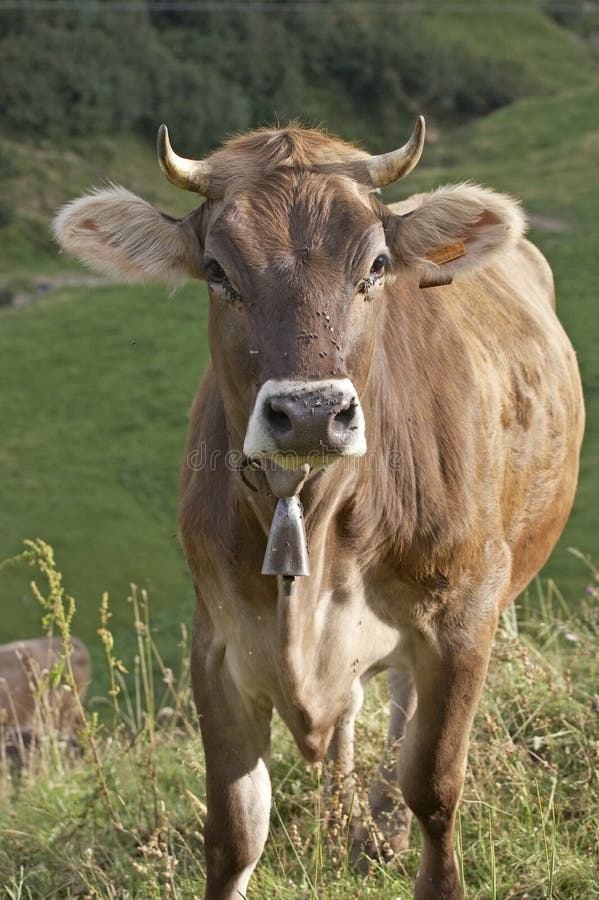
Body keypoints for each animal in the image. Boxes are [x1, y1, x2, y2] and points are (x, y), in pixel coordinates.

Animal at [53, 117, 584, 900]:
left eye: (377, 264)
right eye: (217, 270)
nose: (308, 413)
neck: (312, 510)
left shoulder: (465, 616)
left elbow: (433, 785)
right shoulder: (217, 643)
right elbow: (234, 830)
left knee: (399, 712)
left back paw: (379, 824)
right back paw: (345, 824)